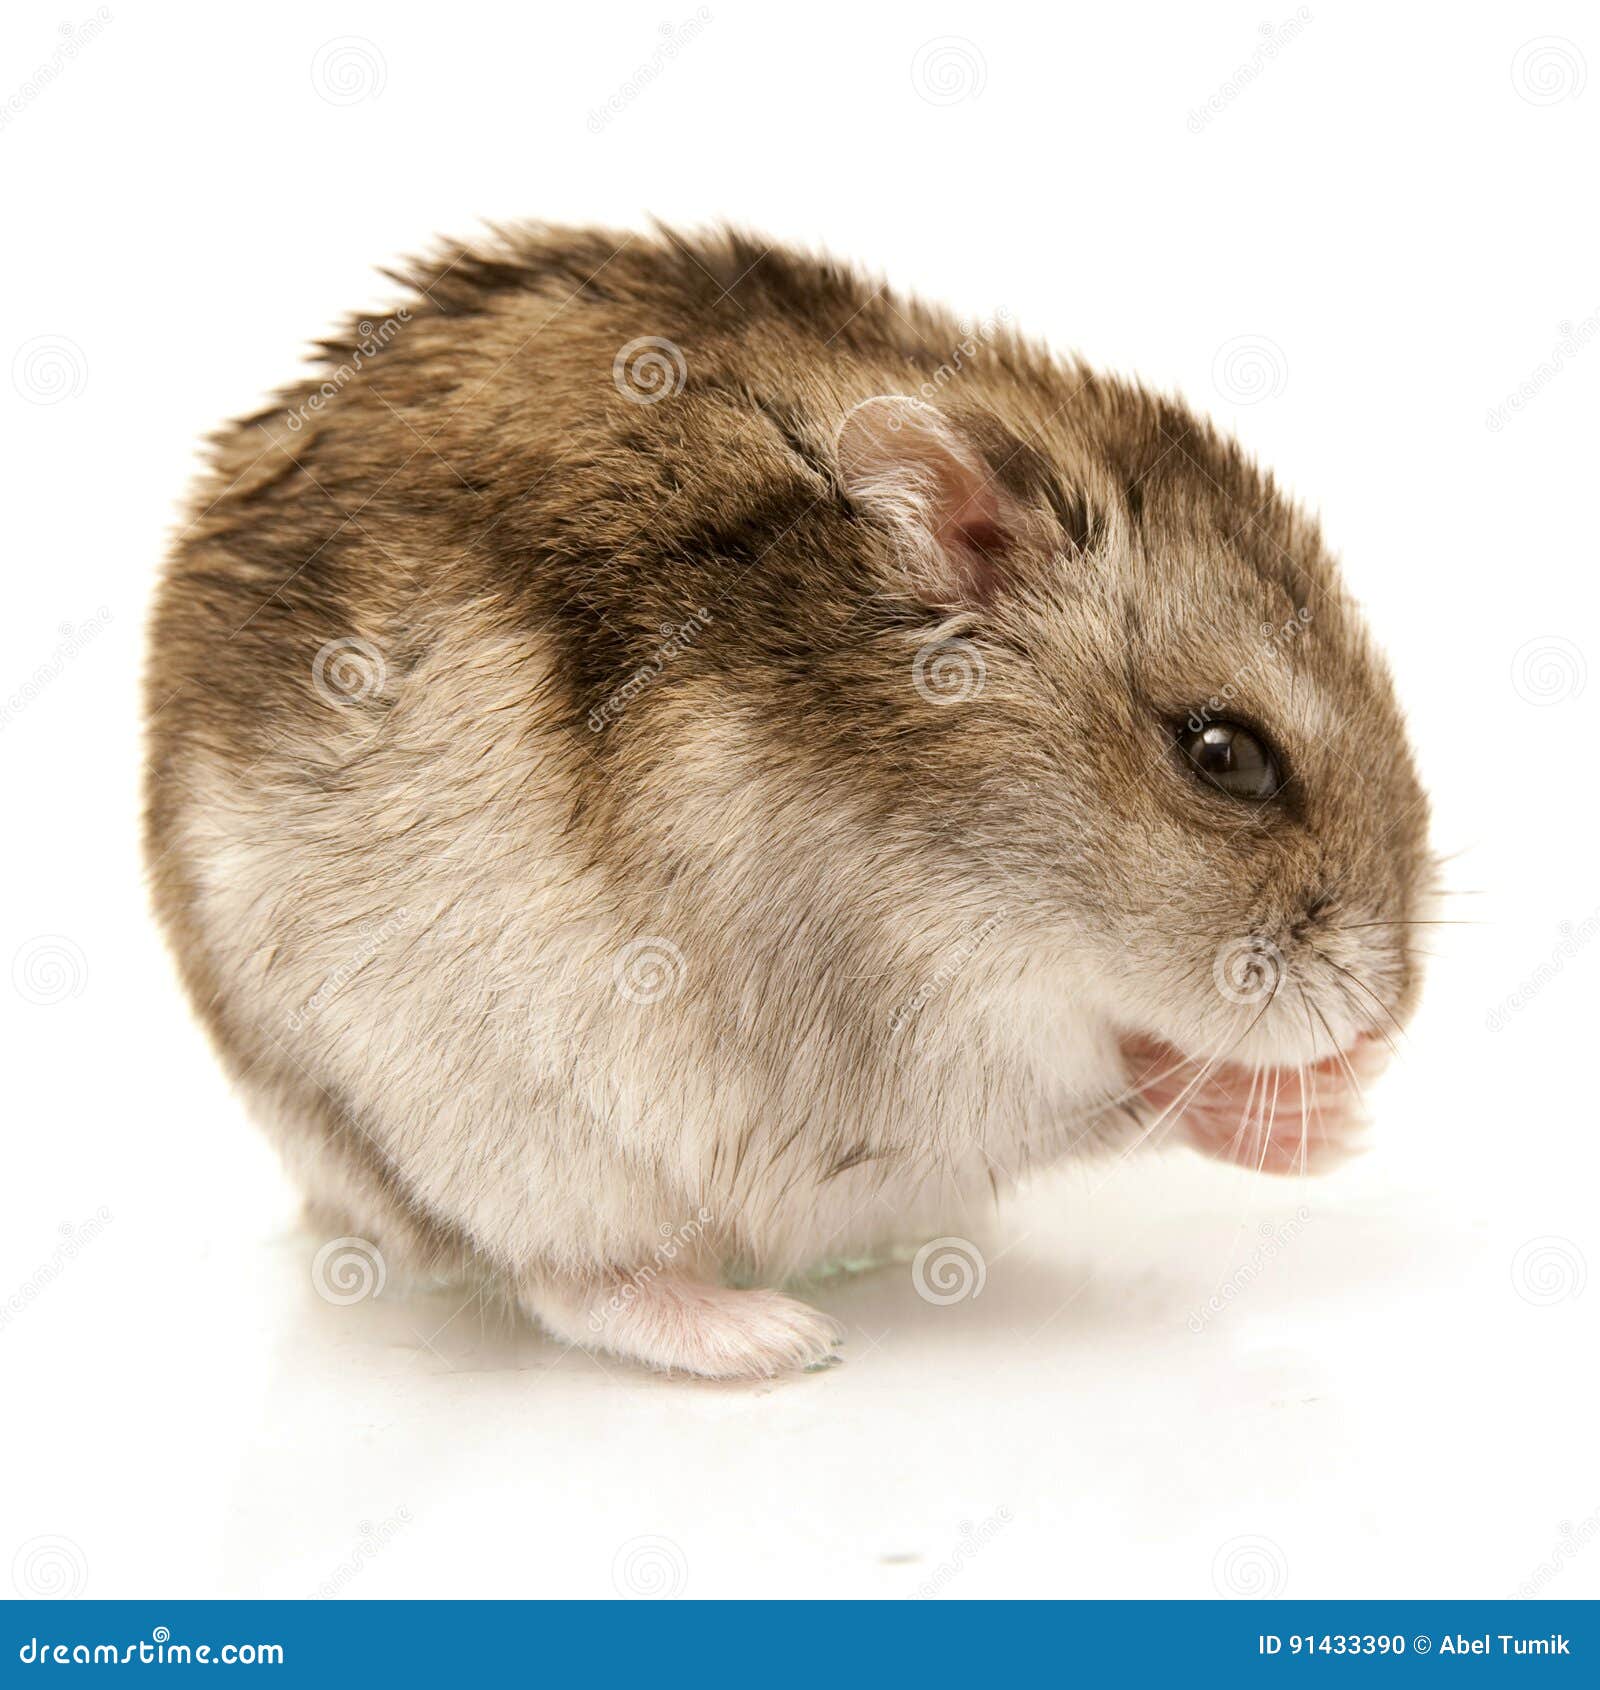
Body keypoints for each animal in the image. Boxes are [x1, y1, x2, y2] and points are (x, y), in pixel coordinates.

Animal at [144, 225, 1432, 1378]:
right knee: (569, 1282)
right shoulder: (920, 1045)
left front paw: (1340, 1109)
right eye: (1224, 756)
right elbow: (1115, 1087)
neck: (965, 870)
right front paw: (1338, 1109)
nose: (1391, 1016)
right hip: (476, 1134)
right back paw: (773, 1336)